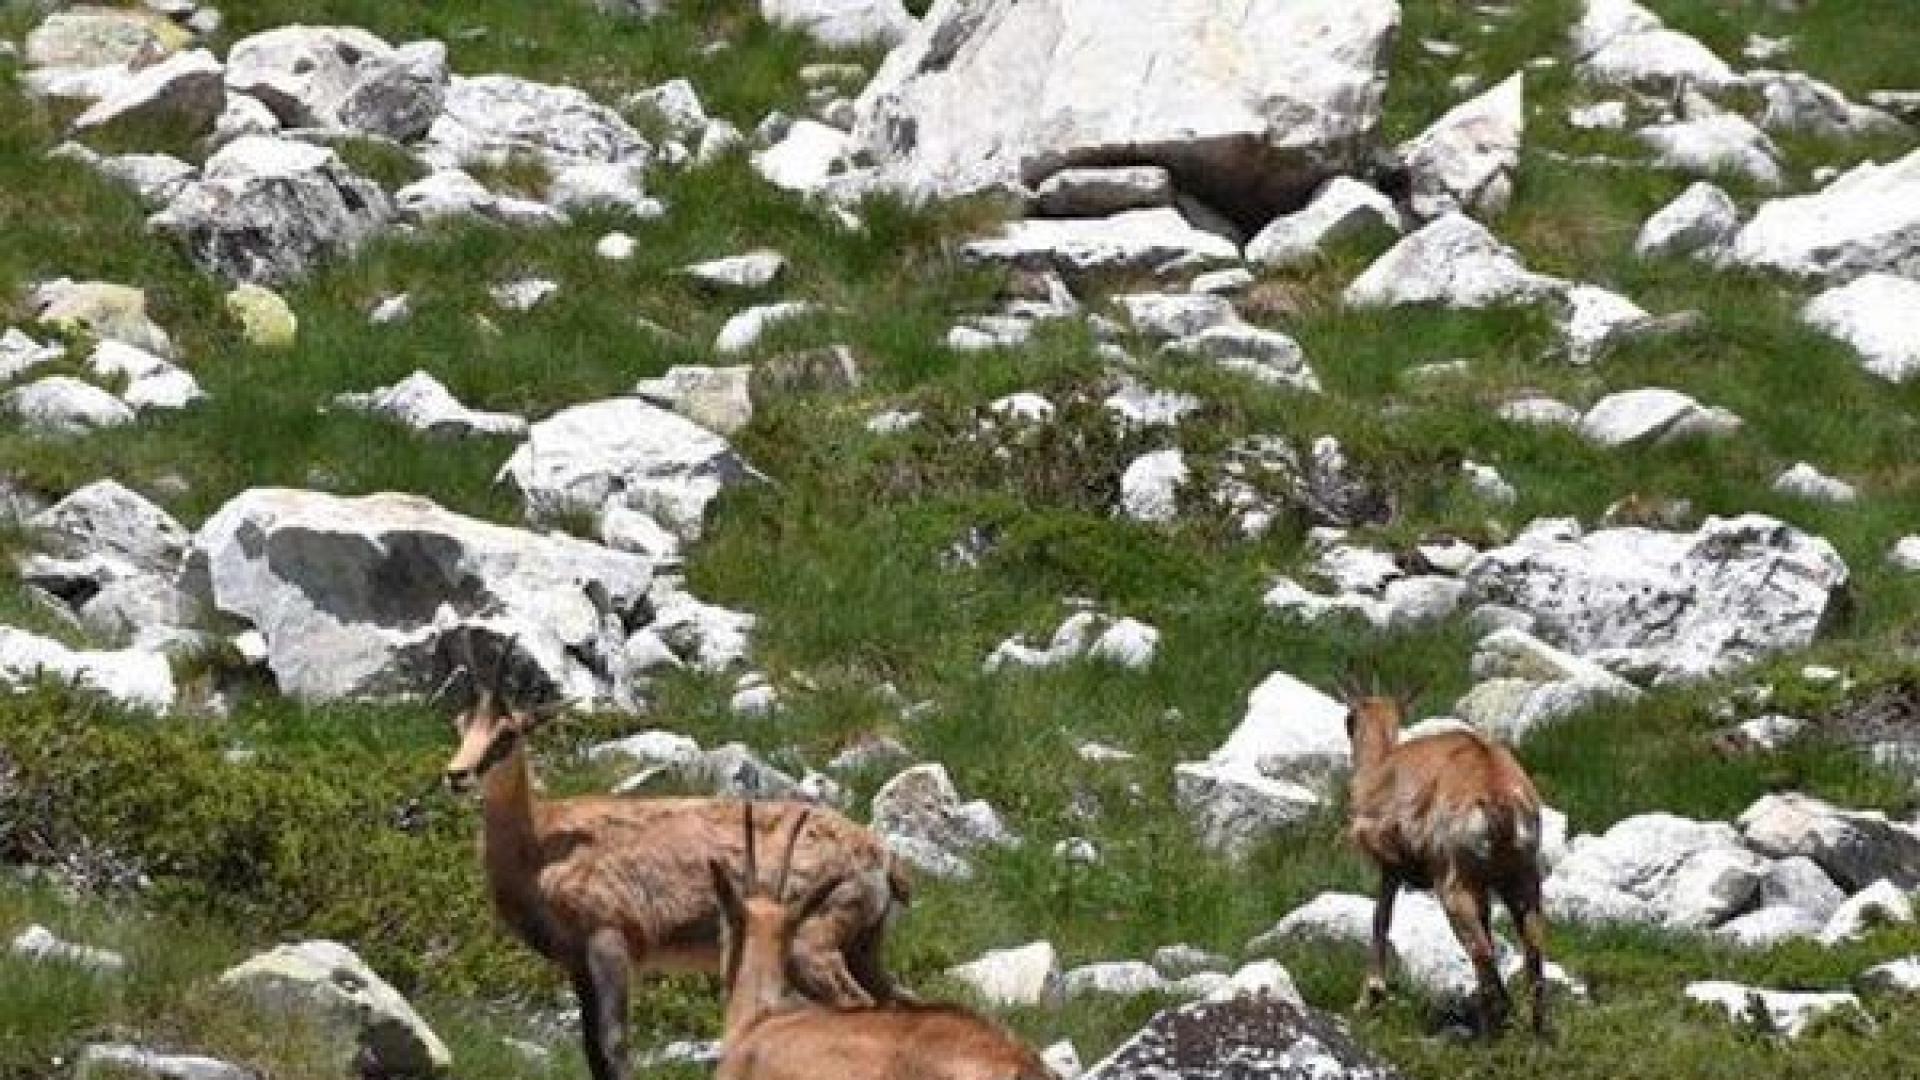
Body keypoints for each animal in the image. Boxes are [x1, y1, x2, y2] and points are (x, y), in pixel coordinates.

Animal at [440, 630, 910, 1080]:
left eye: (507, 733)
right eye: (461, 722)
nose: (456, 774)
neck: (542, 846)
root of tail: (881, 857)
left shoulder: (610, 941)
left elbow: (613, 1045)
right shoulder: (577, 963)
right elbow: (592, 1049)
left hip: (813, 946)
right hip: (862, 948)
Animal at [1341, 688, 1550, 1038]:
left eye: (1349, 718)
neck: (1382, 764)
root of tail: (1500, 801)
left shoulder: (1391, 863)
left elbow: (1381, 918)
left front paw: (1369, 996)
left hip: (1454, 882)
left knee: (1481, 949)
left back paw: (1489, 1030)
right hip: (1521, 875)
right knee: (1531, 941)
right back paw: (1529, 1025)